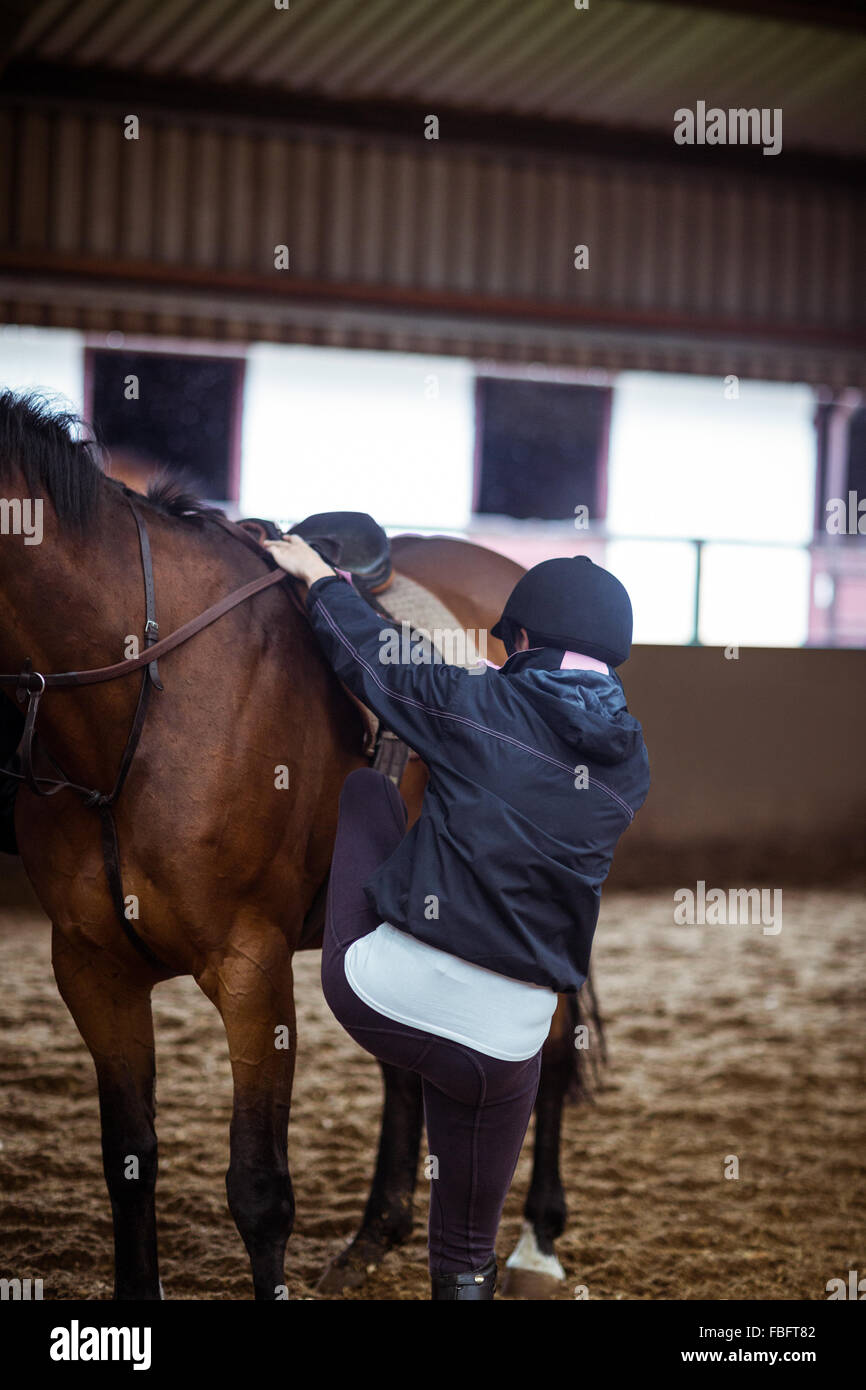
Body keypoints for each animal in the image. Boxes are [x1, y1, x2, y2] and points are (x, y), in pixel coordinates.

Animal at [0, 390, 600, 1299]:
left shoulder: (251, 967)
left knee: (556, 1056)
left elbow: (259, 1190)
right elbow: (128, 1162)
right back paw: (376, 1236)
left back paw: (537, 1241)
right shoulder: (93, 968)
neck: (144, 691)